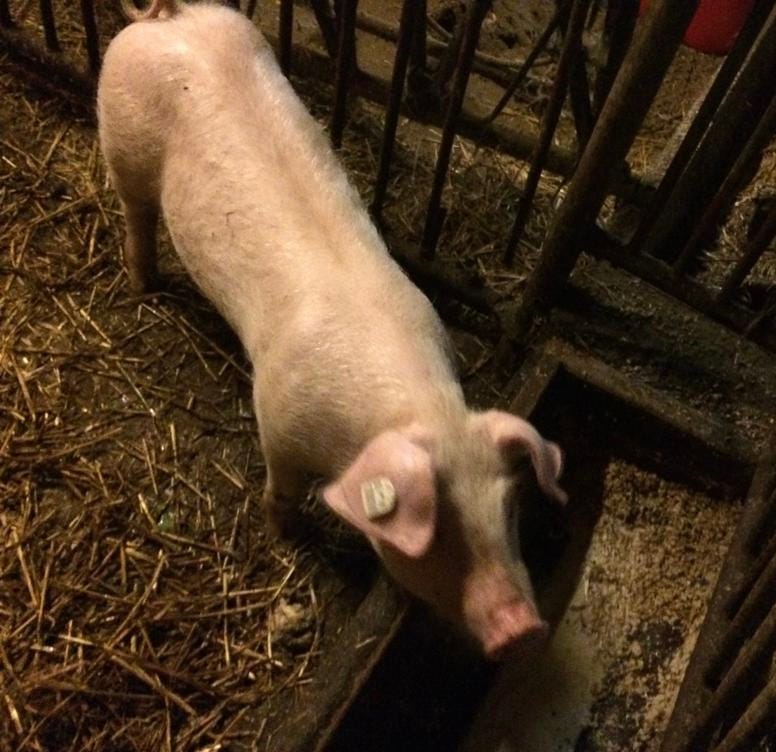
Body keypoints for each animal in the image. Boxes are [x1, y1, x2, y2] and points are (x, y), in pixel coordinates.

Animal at [98, 0, 567, 660]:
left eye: (508, 513)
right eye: (437, 533)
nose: (524, 629)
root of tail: (169, 19)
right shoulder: (275, 415)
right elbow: (282, 488)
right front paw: (286, 536)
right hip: (124, 144)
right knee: (135, 216)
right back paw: (143, 284)